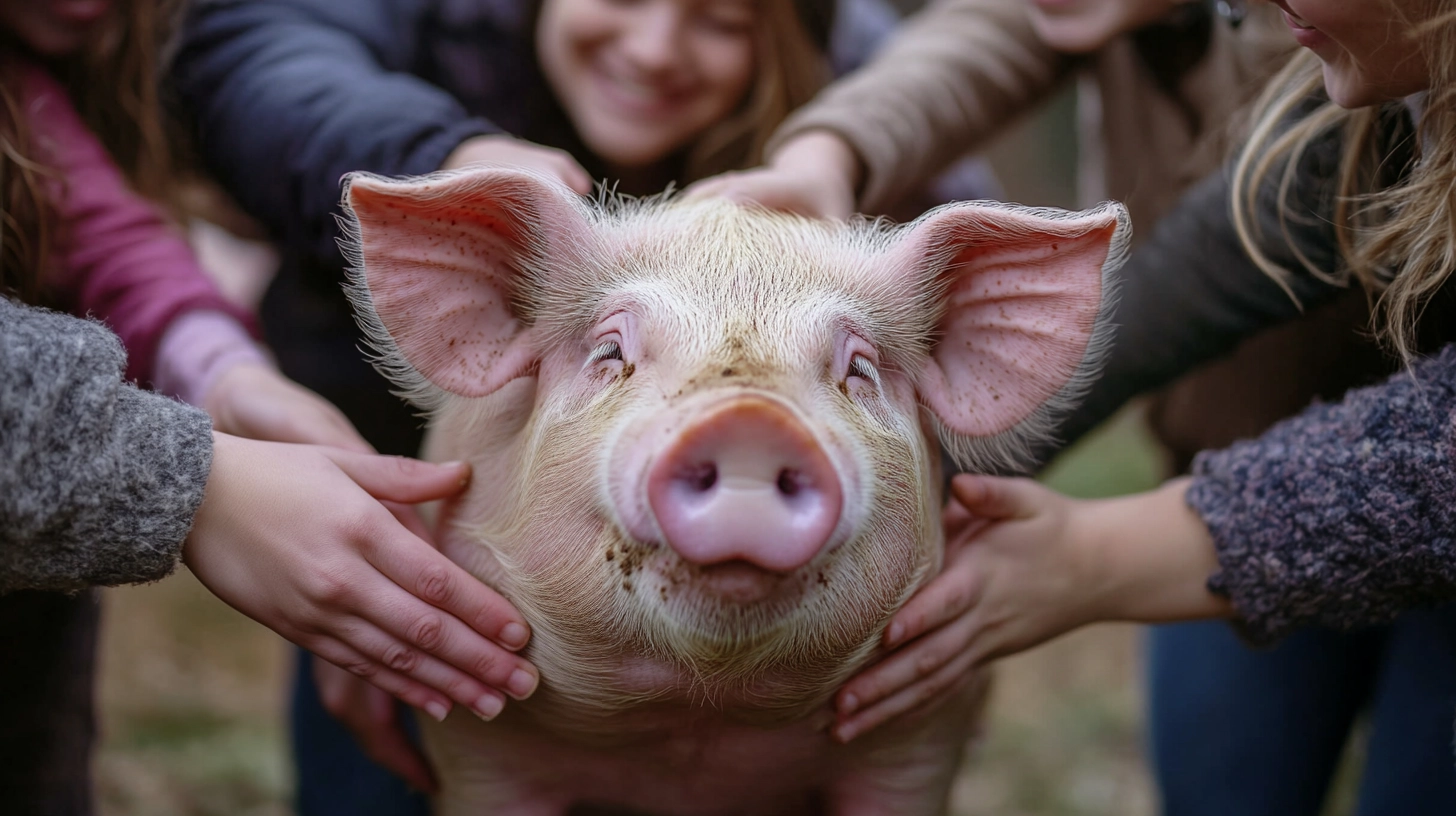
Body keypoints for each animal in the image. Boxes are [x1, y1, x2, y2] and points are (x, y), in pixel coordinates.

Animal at [341, 167, 1127, 816]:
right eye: (610, 352)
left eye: (859, 369)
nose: (751, 420)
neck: (702, 712)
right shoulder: (479, 746)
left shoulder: (923, 739)